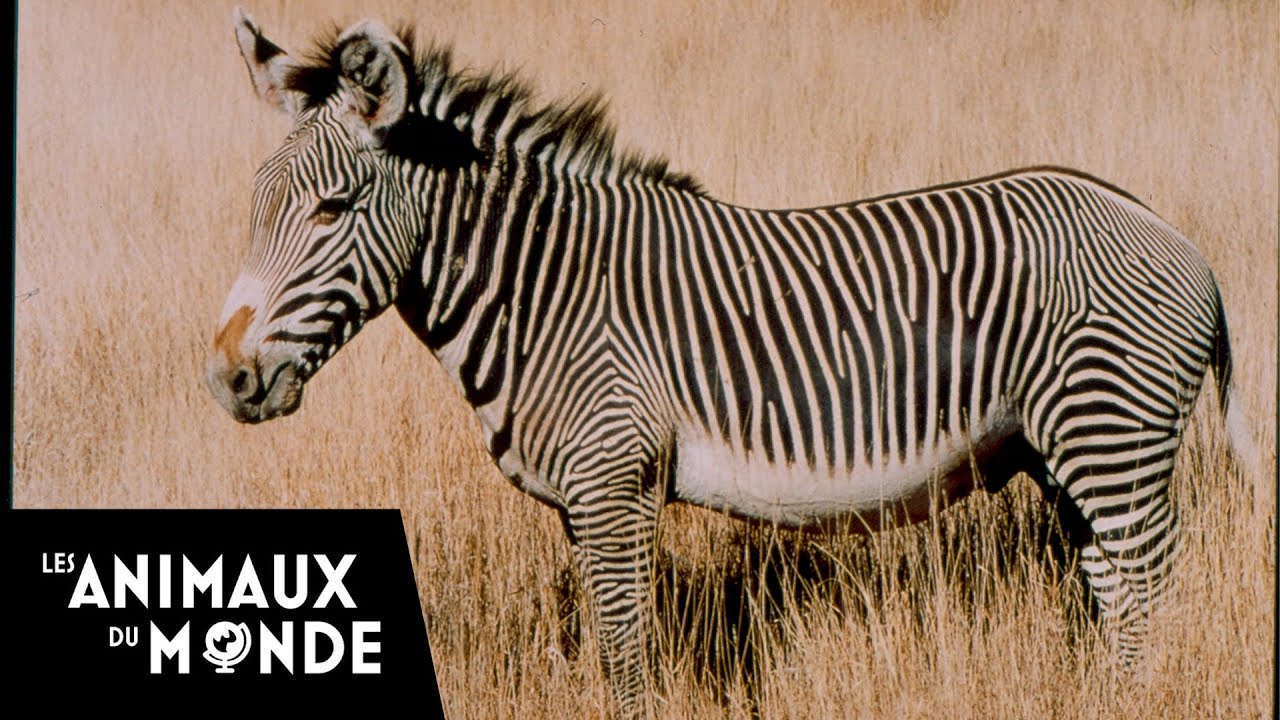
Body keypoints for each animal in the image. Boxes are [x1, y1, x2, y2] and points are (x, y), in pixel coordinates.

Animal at [206, 10, 1248, 717]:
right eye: (257, 202)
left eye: (332, 210)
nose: (226, 377)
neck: (544, 293)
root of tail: (1178, 237)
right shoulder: (585, 503)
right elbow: (612, 649)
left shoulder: (615, 484)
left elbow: (628, 662)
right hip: (1069, 458)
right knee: (1124, 604)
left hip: (1112, 449)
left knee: (1155, 595)